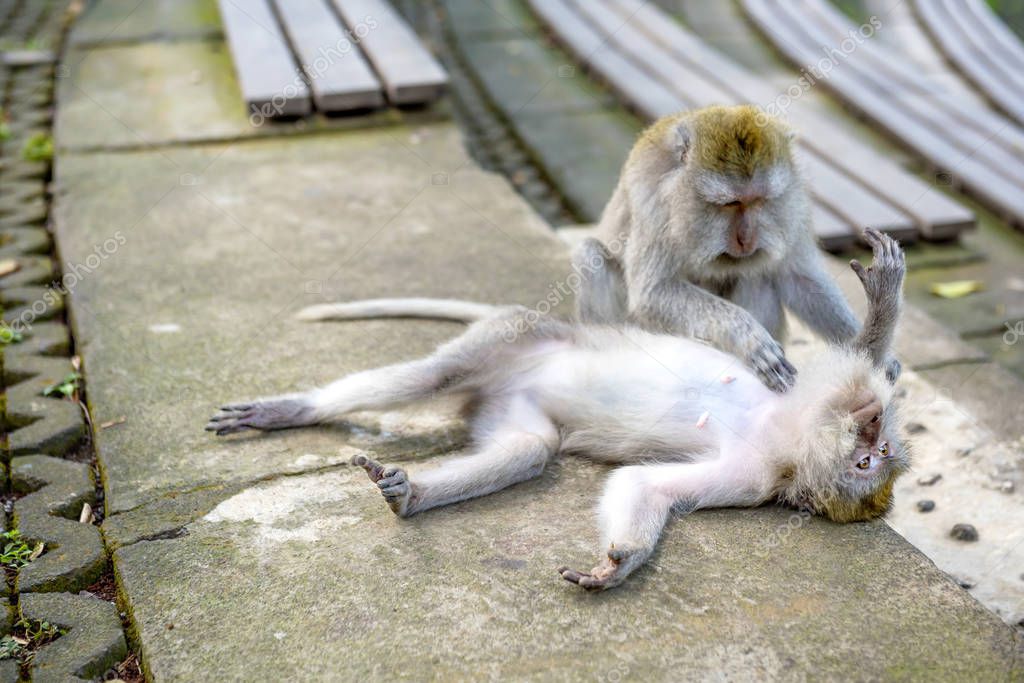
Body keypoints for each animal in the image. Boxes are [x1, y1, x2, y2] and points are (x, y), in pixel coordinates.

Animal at [207, 229, 910, 591]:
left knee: (528, 448)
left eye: (871, 462)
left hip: (510, 398)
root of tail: (553, 335)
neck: (785, 441)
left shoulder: (757, 476)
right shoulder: (798, 400)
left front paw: (618, 565)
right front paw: (882, 309)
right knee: (435, 374)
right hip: (513, 334)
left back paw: (414, 495)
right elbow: (857, 361)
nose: (873, 424)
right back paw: (295, 410)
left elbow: (644, 485)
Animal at [575, 105, 900, 393]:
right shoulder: (654, 201)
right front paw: (747, 336)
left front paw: (876, 353)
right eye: (731, 203)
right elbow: (653, 292)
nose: (746, 238)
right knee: (590, 254)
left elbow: (799, 278)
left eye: (759, 201)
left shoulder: (793, 203)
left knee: (759, 277)